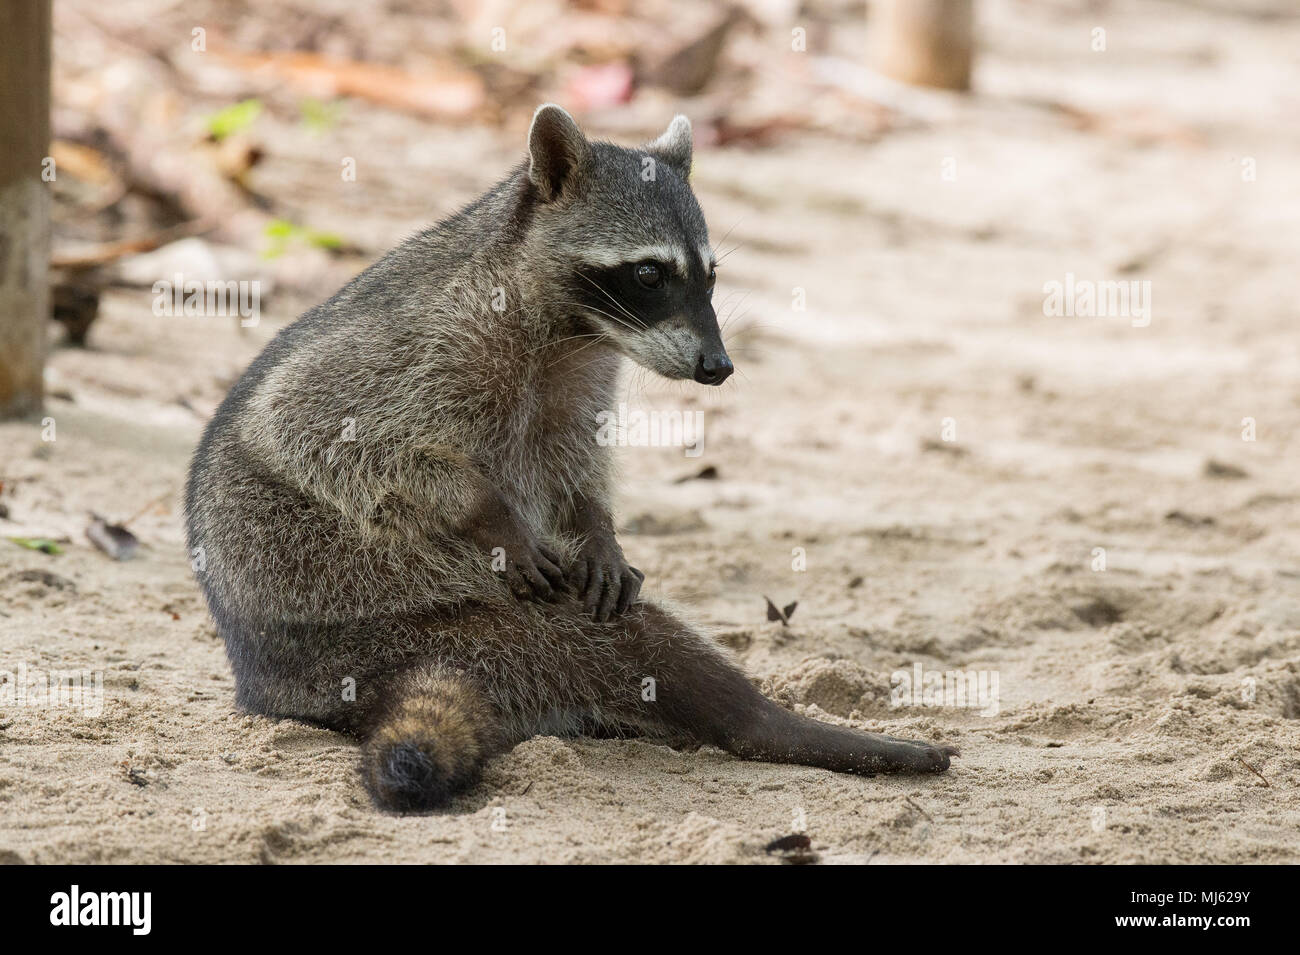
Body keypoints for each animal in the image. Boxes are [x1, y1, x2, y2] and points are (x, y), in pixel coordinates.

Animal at [185, 105, 956, 812]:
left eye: (709, 277)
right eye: (649, 273)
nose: (718, 367)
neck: (572, 328)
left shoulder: (583, 378)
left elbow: (570, 465)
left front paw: (597, 527)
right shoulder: (418, 344)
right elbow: (315, 429)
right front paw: (483, 507)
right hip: (403, 609)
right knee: (633, 645)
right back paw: (763, 719)